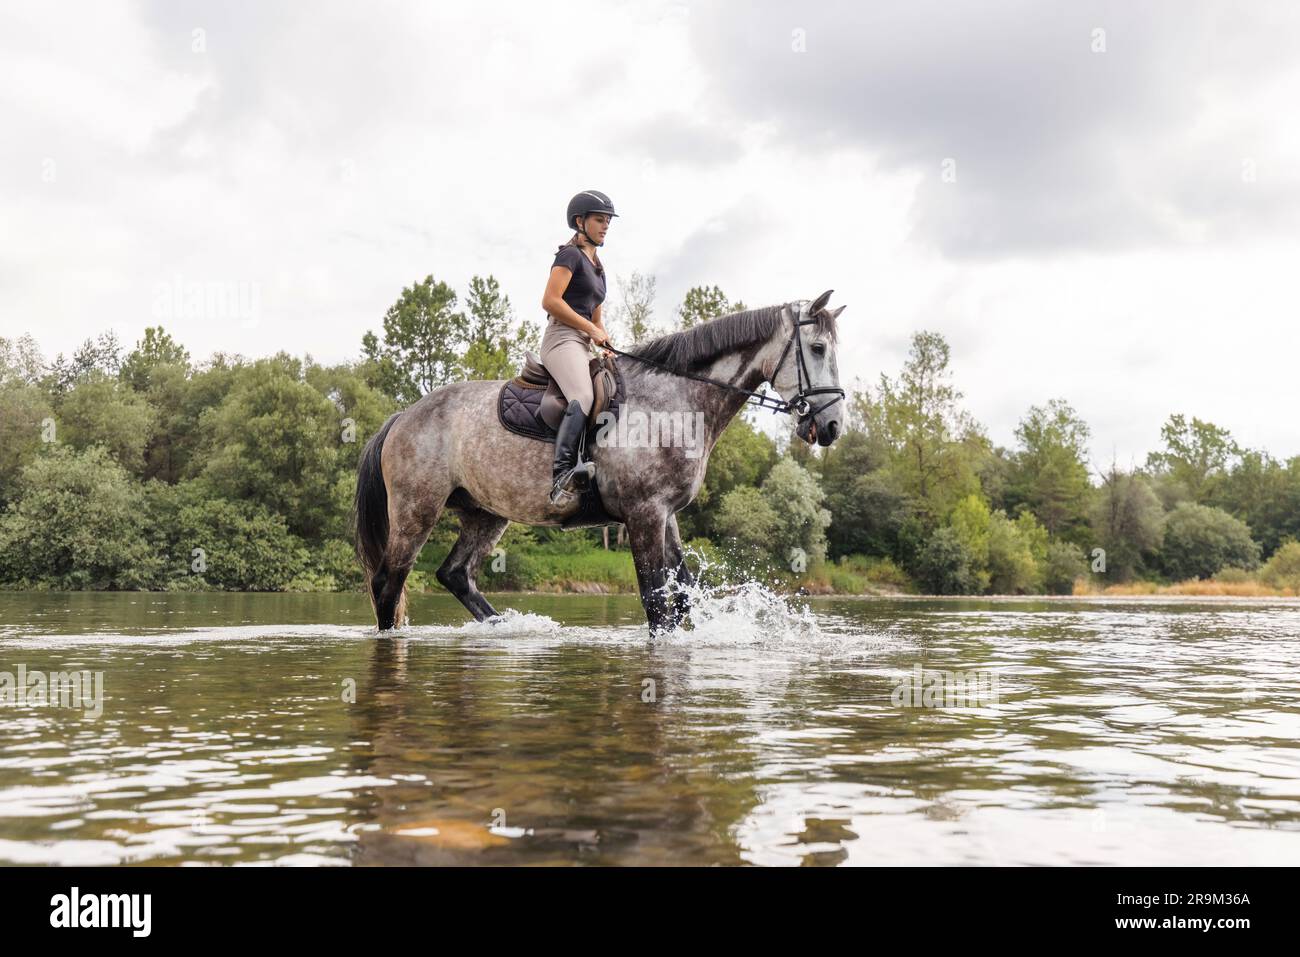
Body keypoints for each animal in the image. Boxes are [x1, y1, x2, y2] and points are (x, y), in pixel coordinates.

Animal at [353, 289, 847, 637]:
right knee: (388, 582)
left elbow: (682, 596)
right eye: (818, 349)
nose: (832, 426)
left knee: (454, 575)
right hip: (417, 510)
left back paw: (506, 628)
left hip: (485, 513)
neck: (676, 400)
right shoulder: (644, 513)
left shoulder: (666, 514)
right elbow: (656, 602)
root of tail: (403, 415)